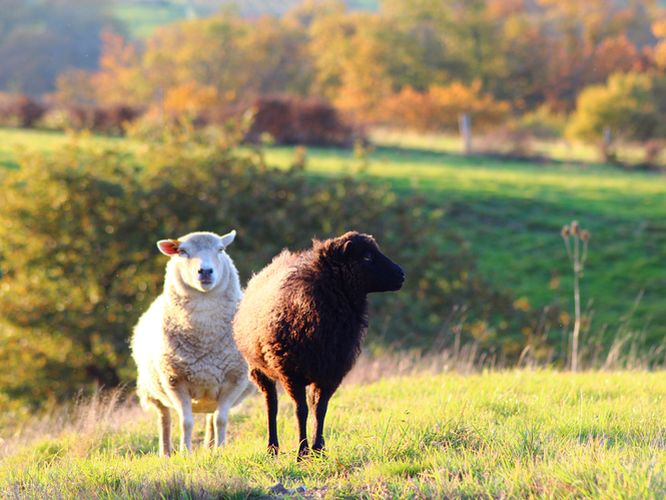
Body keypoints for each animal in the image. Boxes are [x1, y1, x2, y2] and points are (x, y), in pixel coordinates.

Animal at [130, 229, 252, 456]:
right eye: (182, 251)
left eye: (220, 249)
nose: (205, 271)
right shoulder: (174, 380)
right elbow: (185, 422)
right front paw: (185, 452)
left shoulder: (235, 379)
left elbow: (221, 420)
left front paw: (220, 449)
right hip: (152, 390)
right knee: (164, 419)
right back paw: (166, 453)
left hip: (211, 391)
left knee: (211, 417)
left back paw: (210, 447)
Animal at [231, 230, 402, 458]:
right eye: (366, 257)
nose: (402, 275)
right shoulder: (291, 372)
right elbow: (300, 410)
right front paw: (302, 452)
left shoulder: (330, 371)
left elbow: (320, 409)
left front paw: (319, 449)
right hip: (259, 369)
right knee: (271, 405)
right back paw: (272, 448)